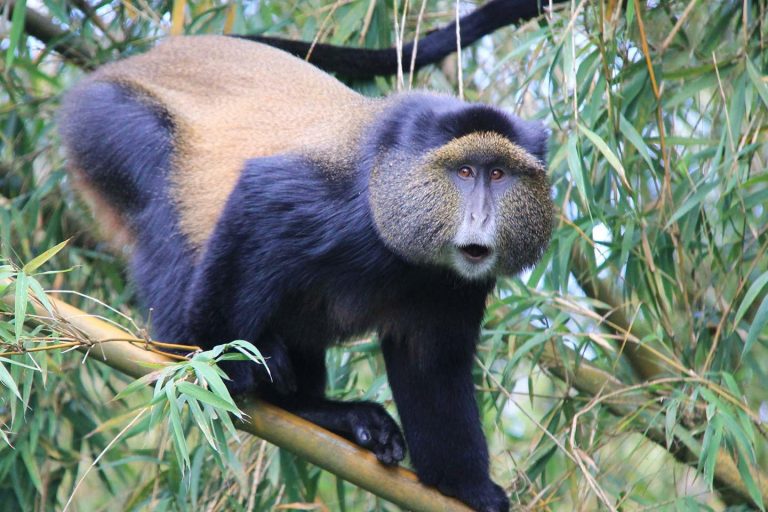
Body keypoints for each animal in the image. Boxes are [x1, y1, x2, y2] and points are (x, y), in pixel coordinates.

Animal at [59, 35, 553, 511]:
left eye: (499, 174)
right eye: (465, 171)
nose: (481, 217)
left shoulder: (455, 288)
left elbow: (430, 365)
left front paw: (468, 488)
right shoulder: (338, 204)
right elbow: (258, 197)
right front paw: (221, 363)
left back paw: (322, 413)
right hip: (108, 123)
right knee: (162, 208)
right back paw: (194, 351)